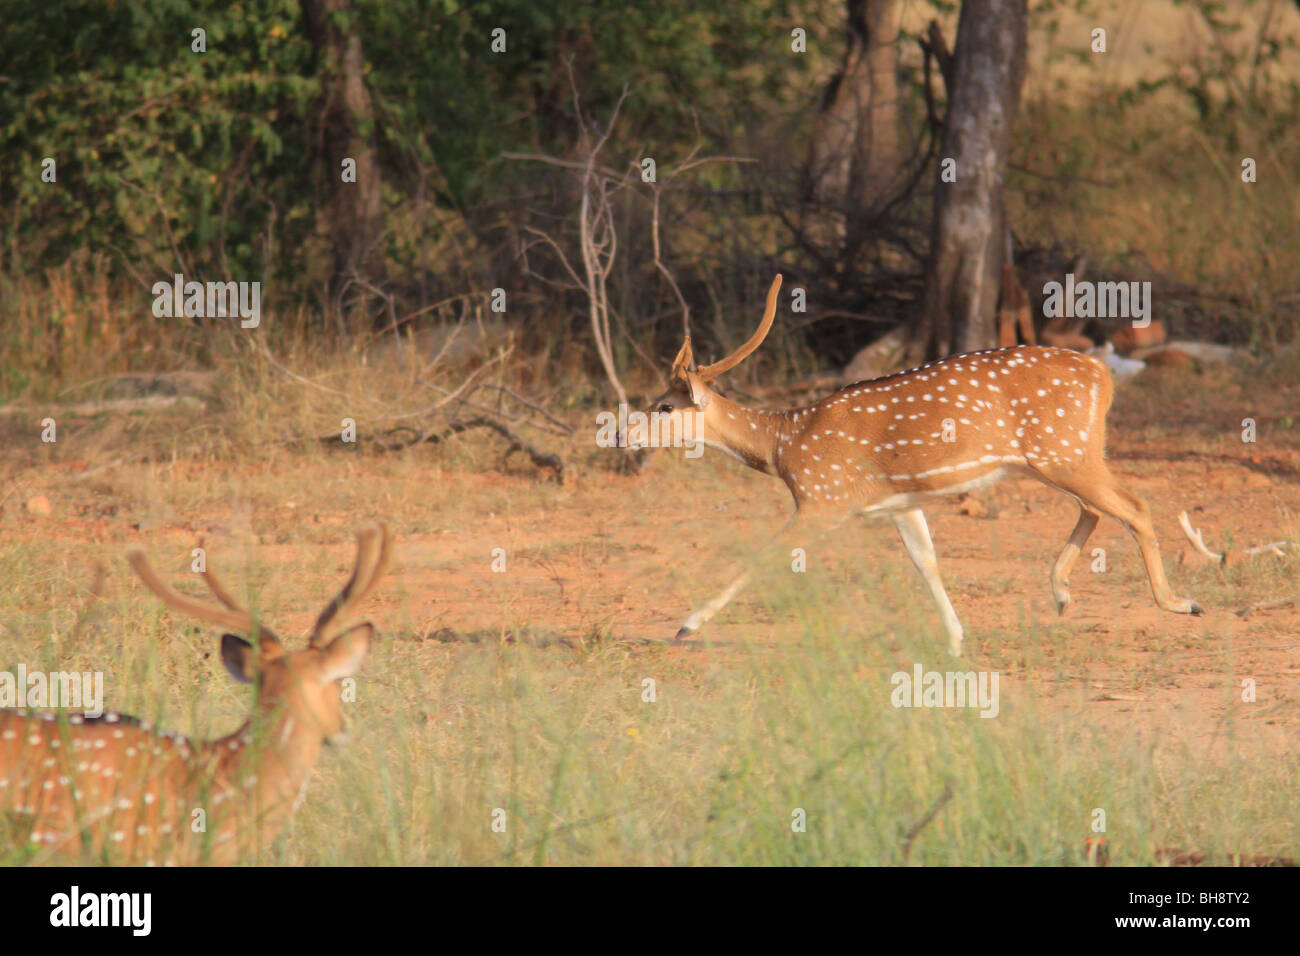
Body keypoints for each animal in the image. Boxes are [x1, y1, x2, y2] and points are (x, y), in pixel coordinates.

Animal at [629, 275, 1201, 655]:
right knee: (1098, 508)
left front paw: (686, 625)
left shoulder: (823, 498)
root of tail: (1103, 375)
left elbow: (762, 556)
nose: (622, 432)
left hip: (1064, 451)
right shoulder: (898, 503)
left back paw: (1180, 603)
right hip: (1062, 455)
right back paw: (1061, 596)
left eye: (664, 406)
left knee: (1135, 505)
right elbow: (927, 562)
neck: (785, 446)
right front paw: (955, 640)